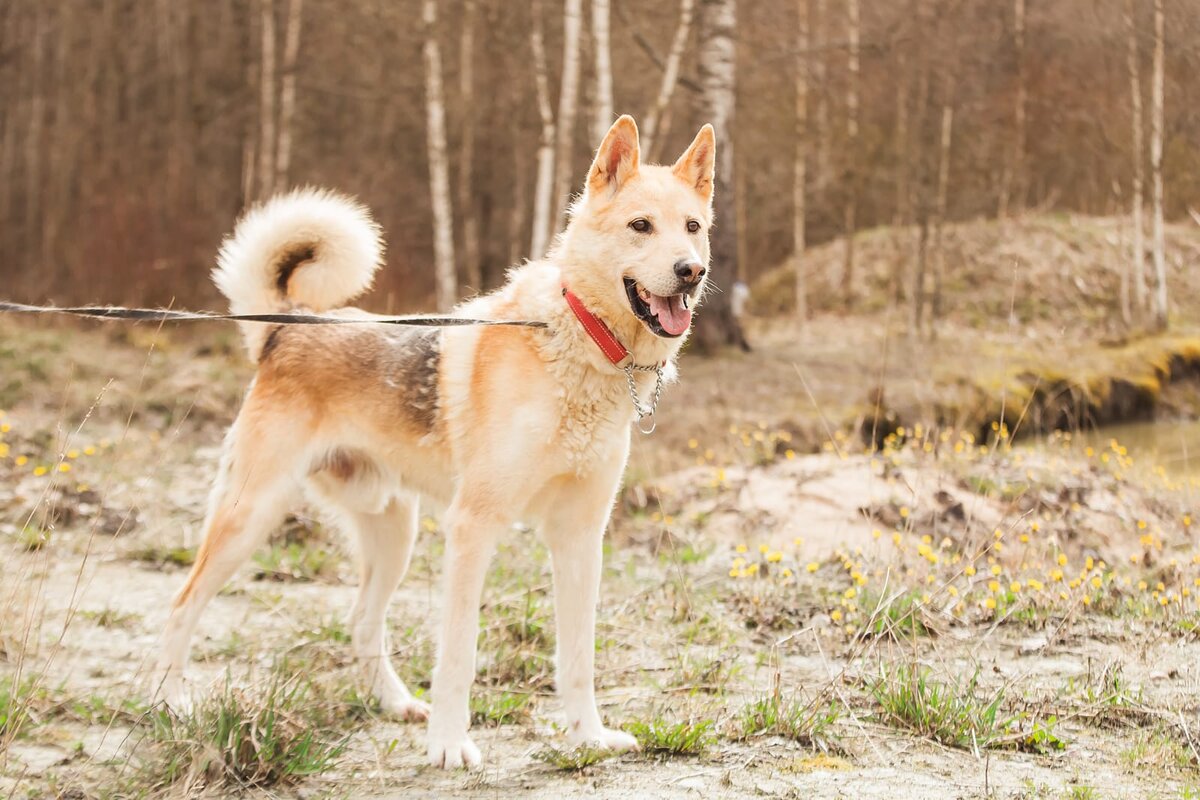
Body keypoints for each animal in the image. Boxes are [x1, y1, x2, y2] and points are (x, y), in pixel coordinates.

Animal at [152, 113, 710, 767]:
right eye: (640, 226)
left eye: (693, 228)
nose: (691, 272)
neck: (576, 345)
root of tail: (289, 329)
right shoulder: (473, 528)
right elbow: (459, 653)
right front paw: (448, 745)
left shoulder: (579, 538)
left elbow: (578, 656)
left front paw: (588, 737)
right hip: (251, 517)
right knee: (182, 605)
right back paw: (169, 704)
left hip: (395, 532)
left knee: (361, 622)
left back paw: (395, 704)